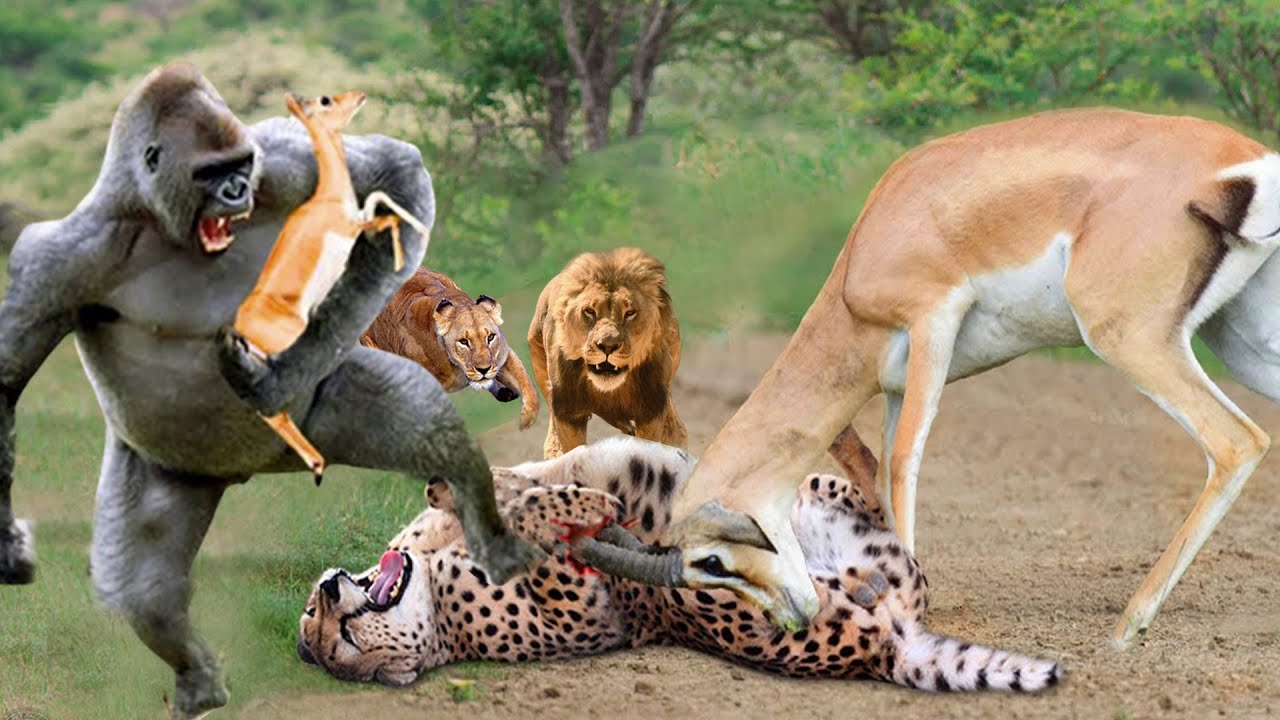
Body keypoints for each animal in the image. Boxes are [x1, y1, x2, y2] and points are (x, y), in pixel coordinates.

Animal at [232, 91, 430, 480]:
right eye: (324, 100)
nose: (357, 96)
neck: (328, 196)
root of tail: (240, 328)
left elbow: (380, 200)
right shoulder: (356, 227)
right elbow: (384, 209)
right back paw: (319, 461)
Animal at [571, 107, 1280, 648]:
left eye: (712, 561)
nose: (792, 619)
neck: (866, 252)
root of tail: (1244, 161)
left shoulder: (933, 320)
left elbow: (904, 458)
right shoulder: (892, 385)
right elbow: (878, 468)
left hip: (1125, 336)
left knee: (1236, 441)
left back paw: (1128, 626)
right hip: (1243, 342)